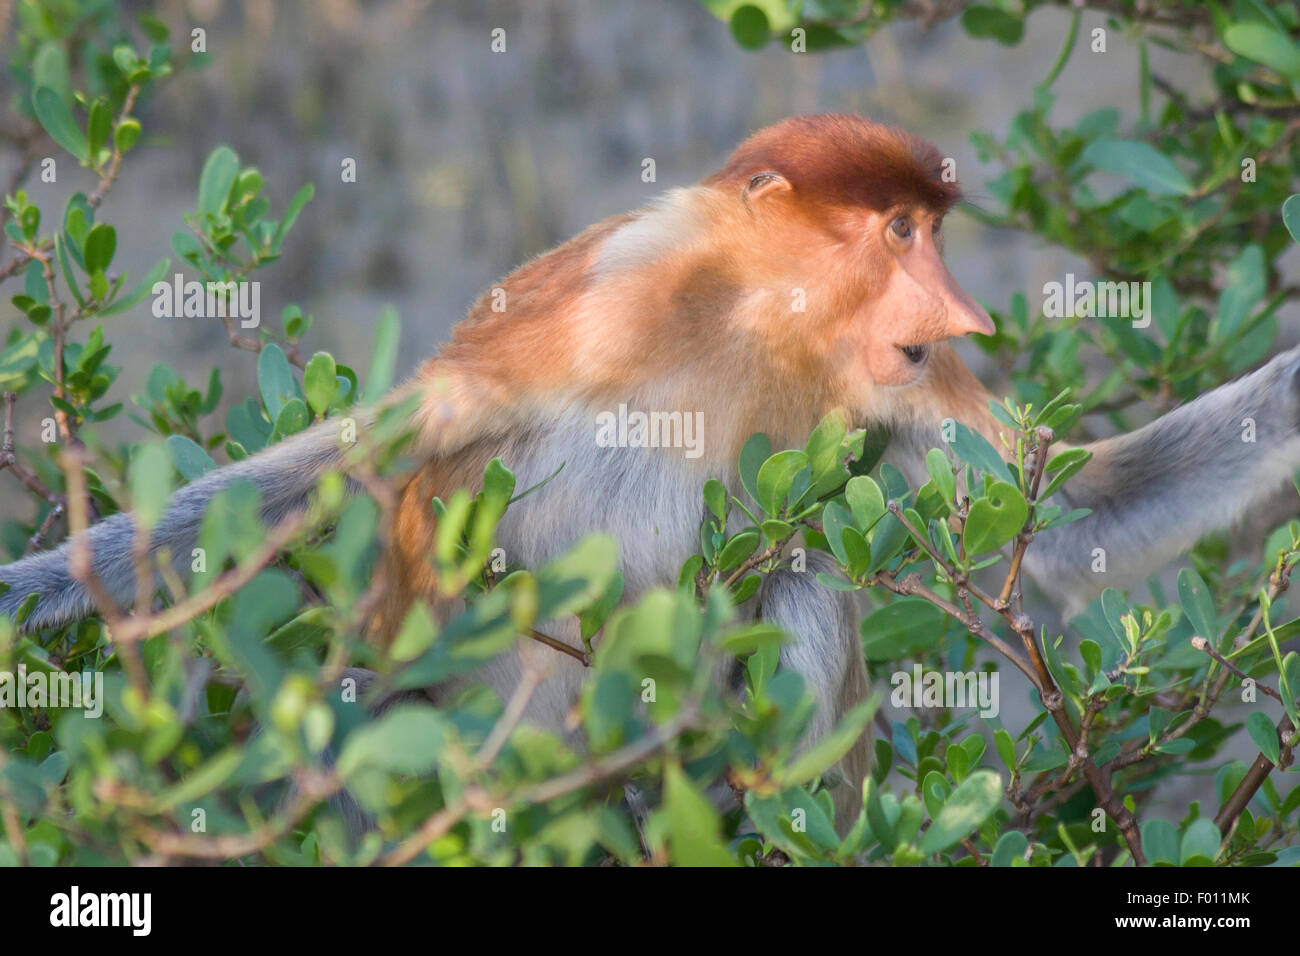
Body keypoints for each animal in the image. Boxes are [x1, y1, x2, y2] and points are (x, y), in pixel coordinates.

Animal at [4, 114, 1300, 828]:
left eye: (932, 232)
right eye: (898, 230)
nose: (959, 310)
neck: (759, 322)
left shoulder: (897, 372)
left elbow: (1063, 510)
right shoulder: (611, 287)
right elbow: (380, 444)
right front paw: (36, 589)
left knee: (799, 574)